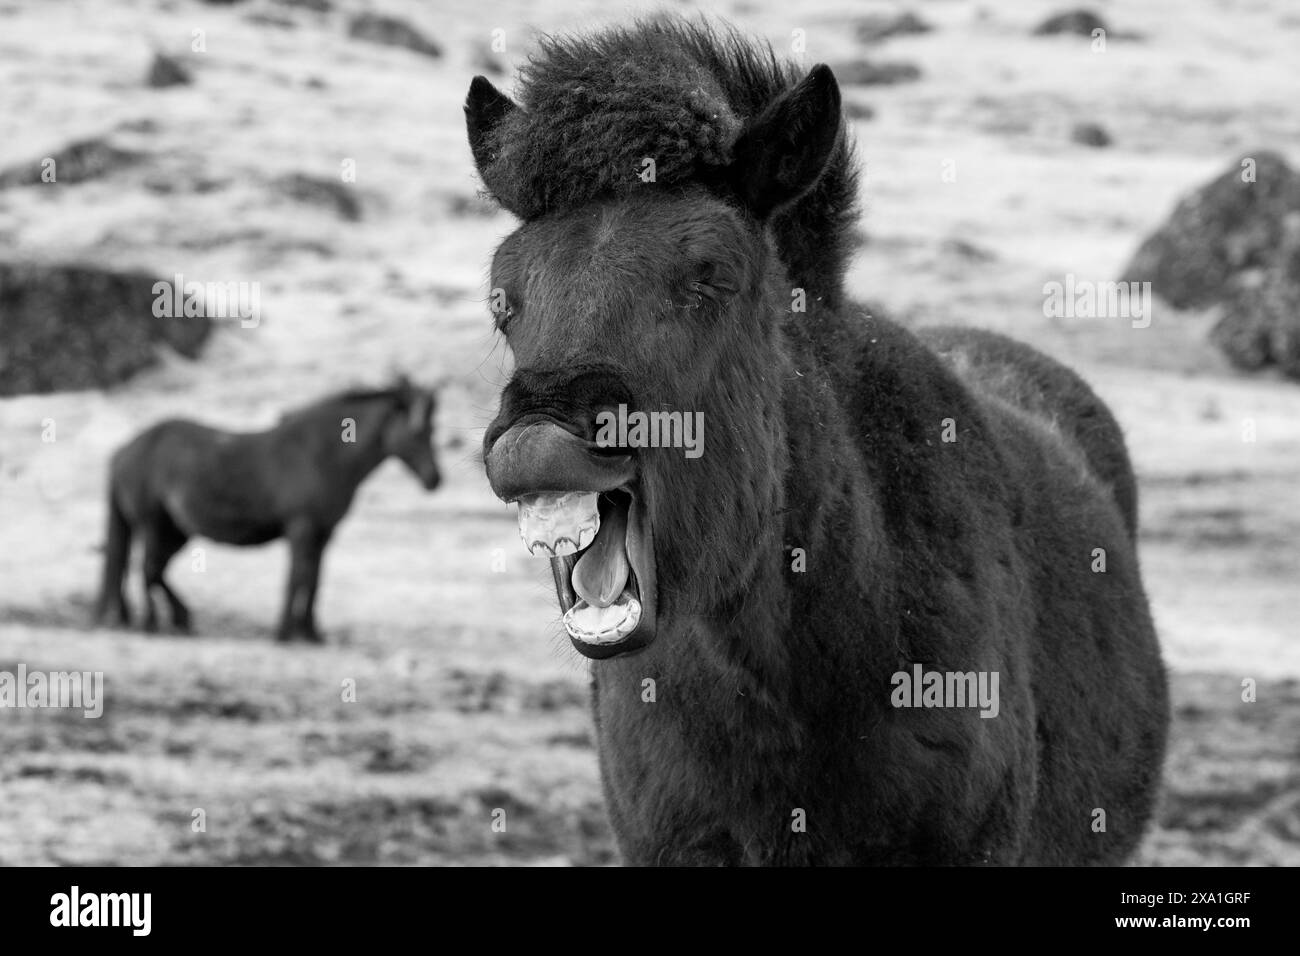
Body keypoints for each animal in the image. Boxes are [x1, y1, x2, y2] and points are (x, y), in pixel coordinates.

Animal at [94, 377, 441, 642]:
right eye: (417, 432)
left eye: (433, 430)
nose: (435, 479)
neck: (321, 455)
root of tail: (125, 451)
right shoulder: (301, 529)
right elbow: (296, 578)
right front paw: (284, 632)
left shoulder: (323, 534)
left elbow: (314, 580)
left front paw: (311, 634)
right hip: (153, 526)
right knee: (148, 570)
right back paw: (155, 624)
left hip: (175, 532)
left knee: (152, 571)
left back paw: (179, 619)